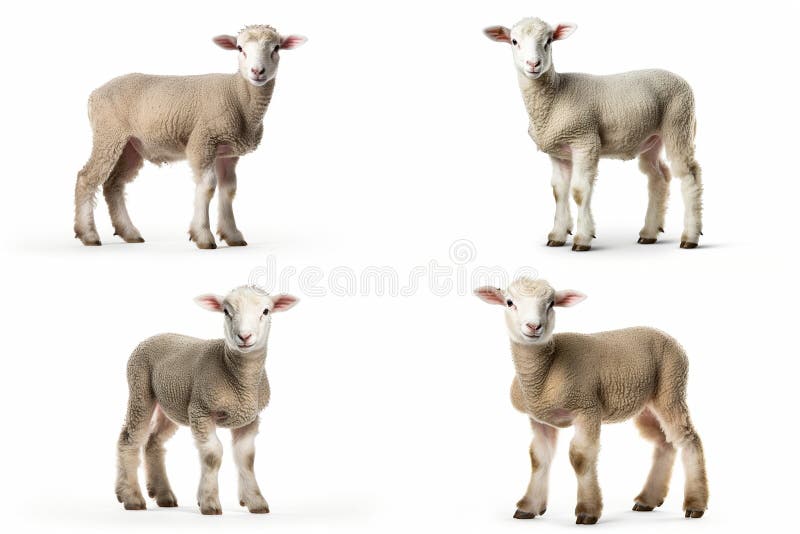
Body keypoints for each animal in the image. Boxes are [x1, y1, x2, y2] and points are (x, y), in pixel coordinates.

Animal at [74, 25, 307, 249]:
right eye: (240, 48)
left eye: (276, 48)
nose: (257, 71)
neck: (239, 95)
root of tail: (93, 94)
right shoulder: (202, 141)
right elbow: (208, 186)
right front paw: (203, 236)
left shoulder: (227, 152)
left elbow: (229, 189)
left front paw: (232, 235)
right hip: (108, 135)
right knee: (87, 178)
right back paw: (88, 235)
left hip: (130, 146)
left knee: (113, 184)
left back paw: (129, 232)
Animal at [115, 286, 299, 515]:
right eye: (226, 312)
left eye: (266, 311)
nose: (244, 336)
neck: (233, 373)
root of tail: (155, 336)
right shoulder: (201, 409)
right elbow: (213, 455)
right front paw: (209, 502)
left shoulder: (250, 418)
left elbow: (246, 458)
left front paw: (255, 501)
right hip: (140, 387)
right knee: (130, 438)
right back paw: (131, 497)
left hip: (171, 404)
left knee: (153, 441)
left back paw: (163, 494)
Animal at [474, 277, 708, 524]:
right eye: (509, 302)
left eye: (551, 304)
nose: (533, 326)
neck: (546, 370)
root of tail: (669, 337)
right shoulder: (539, 419)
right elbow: (538, 458)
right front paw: (529, 507)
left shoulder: (587, 408)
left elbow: (580, 457)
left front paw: (587, 510)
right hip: (647, 404)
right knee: (664, 442)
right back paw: (648, 500)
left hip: (671, 387)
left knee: (688, 438)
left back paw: (695, 504)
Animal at [483, 18, 703, 250]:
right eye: (514, 41)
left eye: (549, 41)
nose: (533, 64)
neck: (555, 95)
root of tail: (681, 79)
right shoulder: (558, 151)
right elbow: (559, 191)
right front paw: (557, 235)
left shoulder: (585, 140)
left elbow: (579, 192)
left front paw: (582, 239)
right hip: (652, 138)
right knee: (658, 177)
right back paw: (649, 233)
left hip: (679, 124)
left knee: (688, 175)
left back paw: (690, 237)